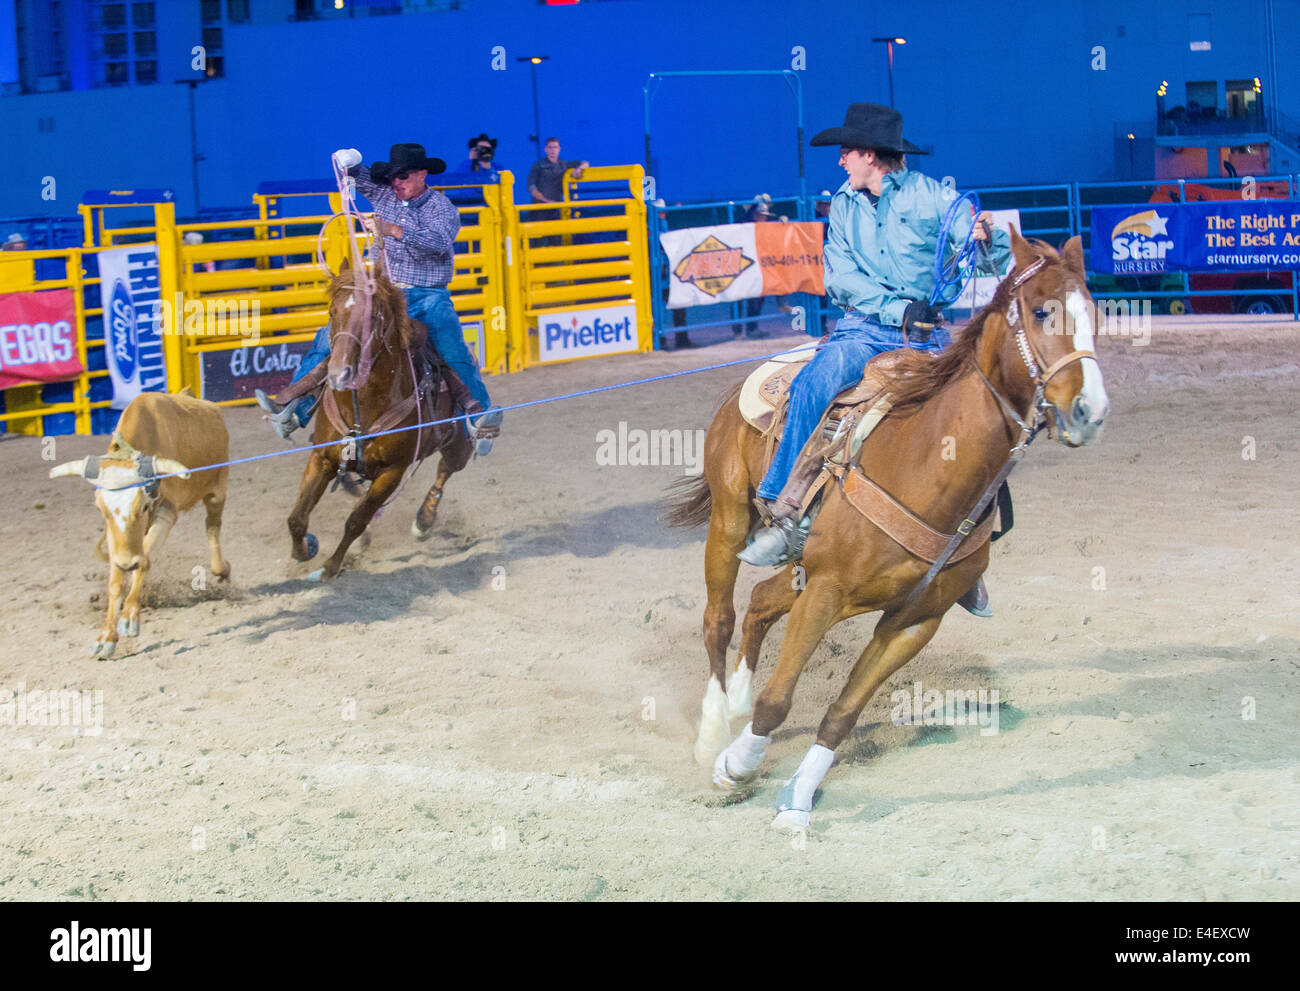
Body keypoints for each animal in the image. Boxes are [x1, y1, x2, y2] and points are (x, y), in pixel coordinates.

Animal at [49, 387, 230, 659]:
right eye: (102, 511)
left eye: (143, 506)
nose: (127, 562)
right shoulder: (116, 536)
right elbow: (116, 580)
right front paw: (106, 637)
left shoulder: (165, 512)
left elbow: (143, 561)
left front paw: (130, 618)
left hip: (217, 490)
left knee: (212, 526)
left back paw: (221, 568)